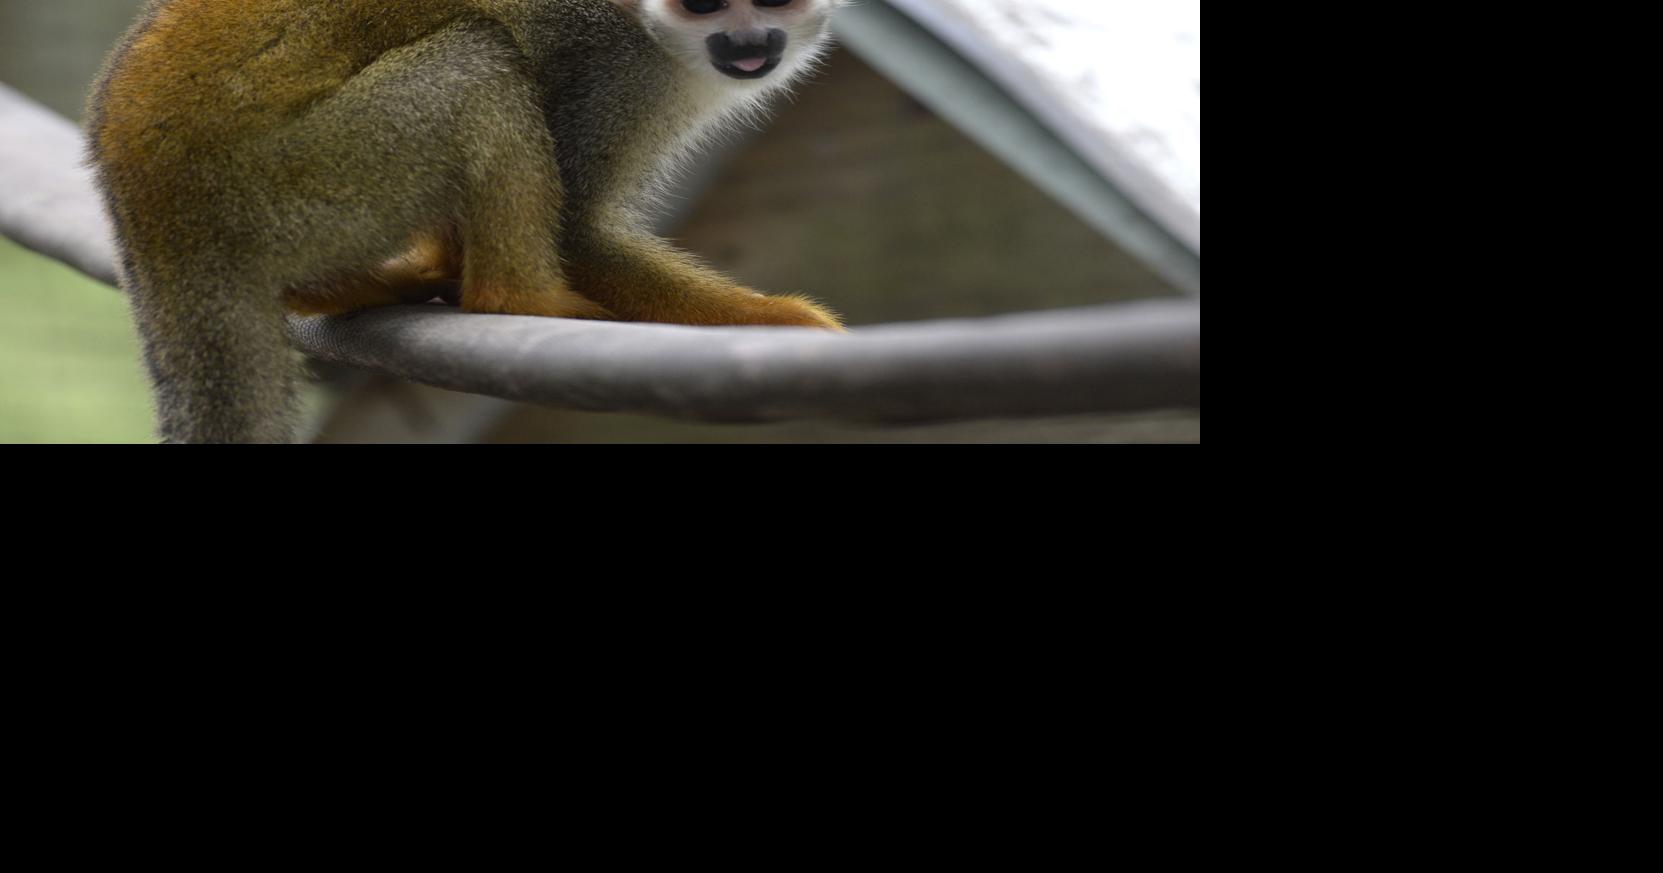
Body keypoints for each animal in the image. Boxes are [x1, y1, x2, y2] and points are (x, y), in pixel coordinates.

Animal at [86, 0, 846, 443]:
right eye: (703, 4)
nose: (749, 40)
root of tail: (147, 202)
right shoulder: (610, 70)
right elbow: (579, 234)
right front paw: (787, 324)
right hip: (299, 173)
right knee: (476, 59)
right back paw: (521, 299)